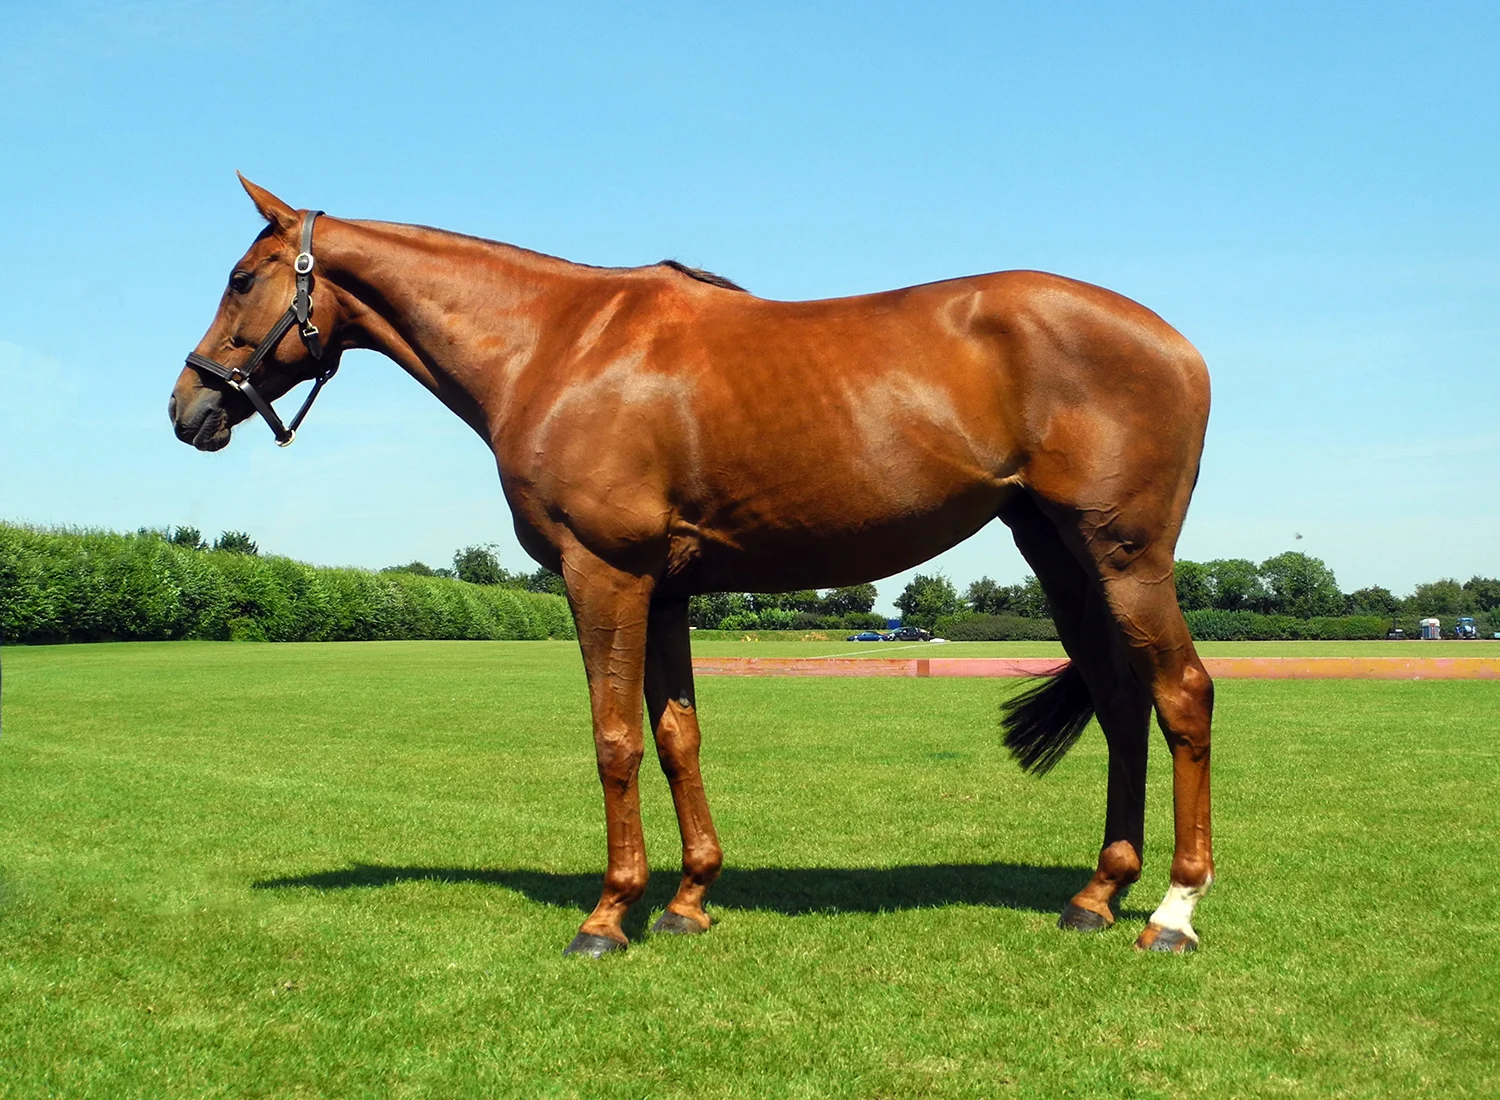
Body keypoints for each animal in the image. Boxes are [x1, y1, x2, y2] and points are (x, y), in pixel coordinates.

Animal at [170, 176, 1215, 957]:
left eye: (241, 278)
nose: (189, 407)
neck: (559, 344)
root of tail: (1178, 343)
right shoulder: (667, 590)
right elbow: (678, 737)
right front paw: (688, 899)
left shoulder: (604, 574)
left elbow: (615, 741)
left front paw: (608, 915)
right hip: (1060, 553)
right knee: (1121, 701)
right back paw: (1097, 894)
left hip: (1125, 557)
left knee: (1183, 695)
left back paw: (1172, 911)